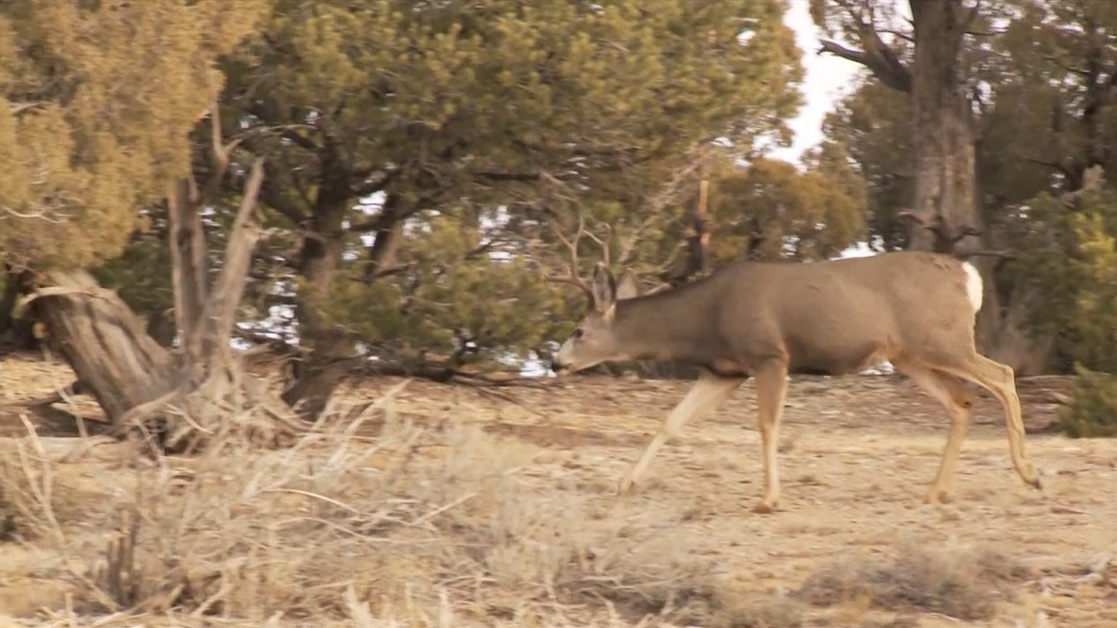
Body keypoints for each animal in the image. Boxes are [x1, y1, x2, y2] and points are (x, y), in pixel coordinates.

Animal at [546, 227, 1042, 514]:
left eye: (578, 330)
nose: (555, 361)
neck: (706, 319)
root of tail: (969, 278)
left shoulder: (769, 355)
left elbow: (767, 426)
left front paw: (768, 498)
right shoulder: (724, 371)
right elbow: (671, 421)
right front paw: (625, 482)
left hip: (940, 339)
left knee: (1002, 375)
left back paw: (1029, 474)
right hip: (908, 354)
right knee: (962, 401)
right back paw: (936, 491)